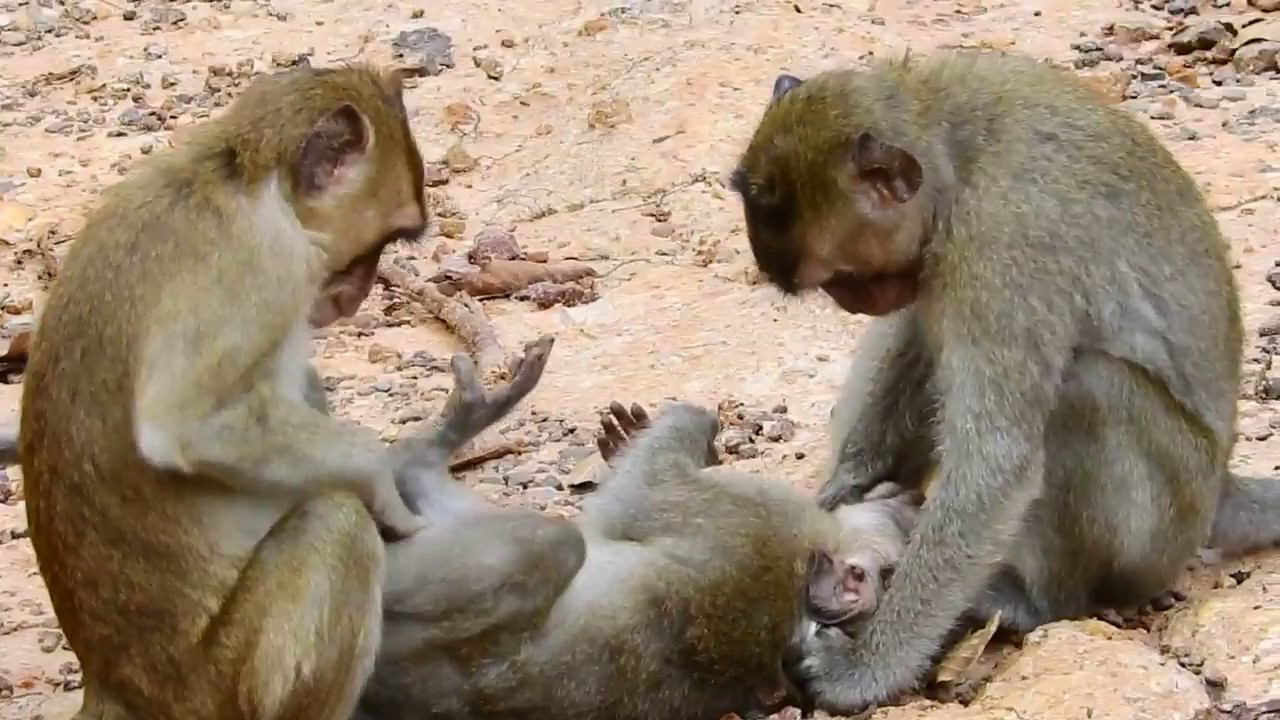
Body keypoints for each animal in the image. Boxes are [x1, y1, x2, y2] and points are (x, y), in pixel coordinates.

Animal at [20, 63, 432, 720]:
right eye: (381, 243)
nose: (361, 292)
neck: (240, 177)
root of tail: (110, 685)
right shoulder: (261, 263)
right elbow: (184, 425)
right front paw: (384, 484)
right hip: (220, 686)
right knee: (336, 522)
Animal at [730, 50, 1280, 713]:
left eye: (847, 277)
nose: (852, 303)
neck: (953, 148)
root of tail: (1222, 486)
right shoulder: (939, 259)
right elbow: (917, 331)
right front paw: (845, 486)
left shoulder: (1001, 240)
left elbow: (997, 461)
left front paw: (865, 669)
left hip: (1170, 520)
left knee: (1086, 391)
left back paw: (1039, 601)